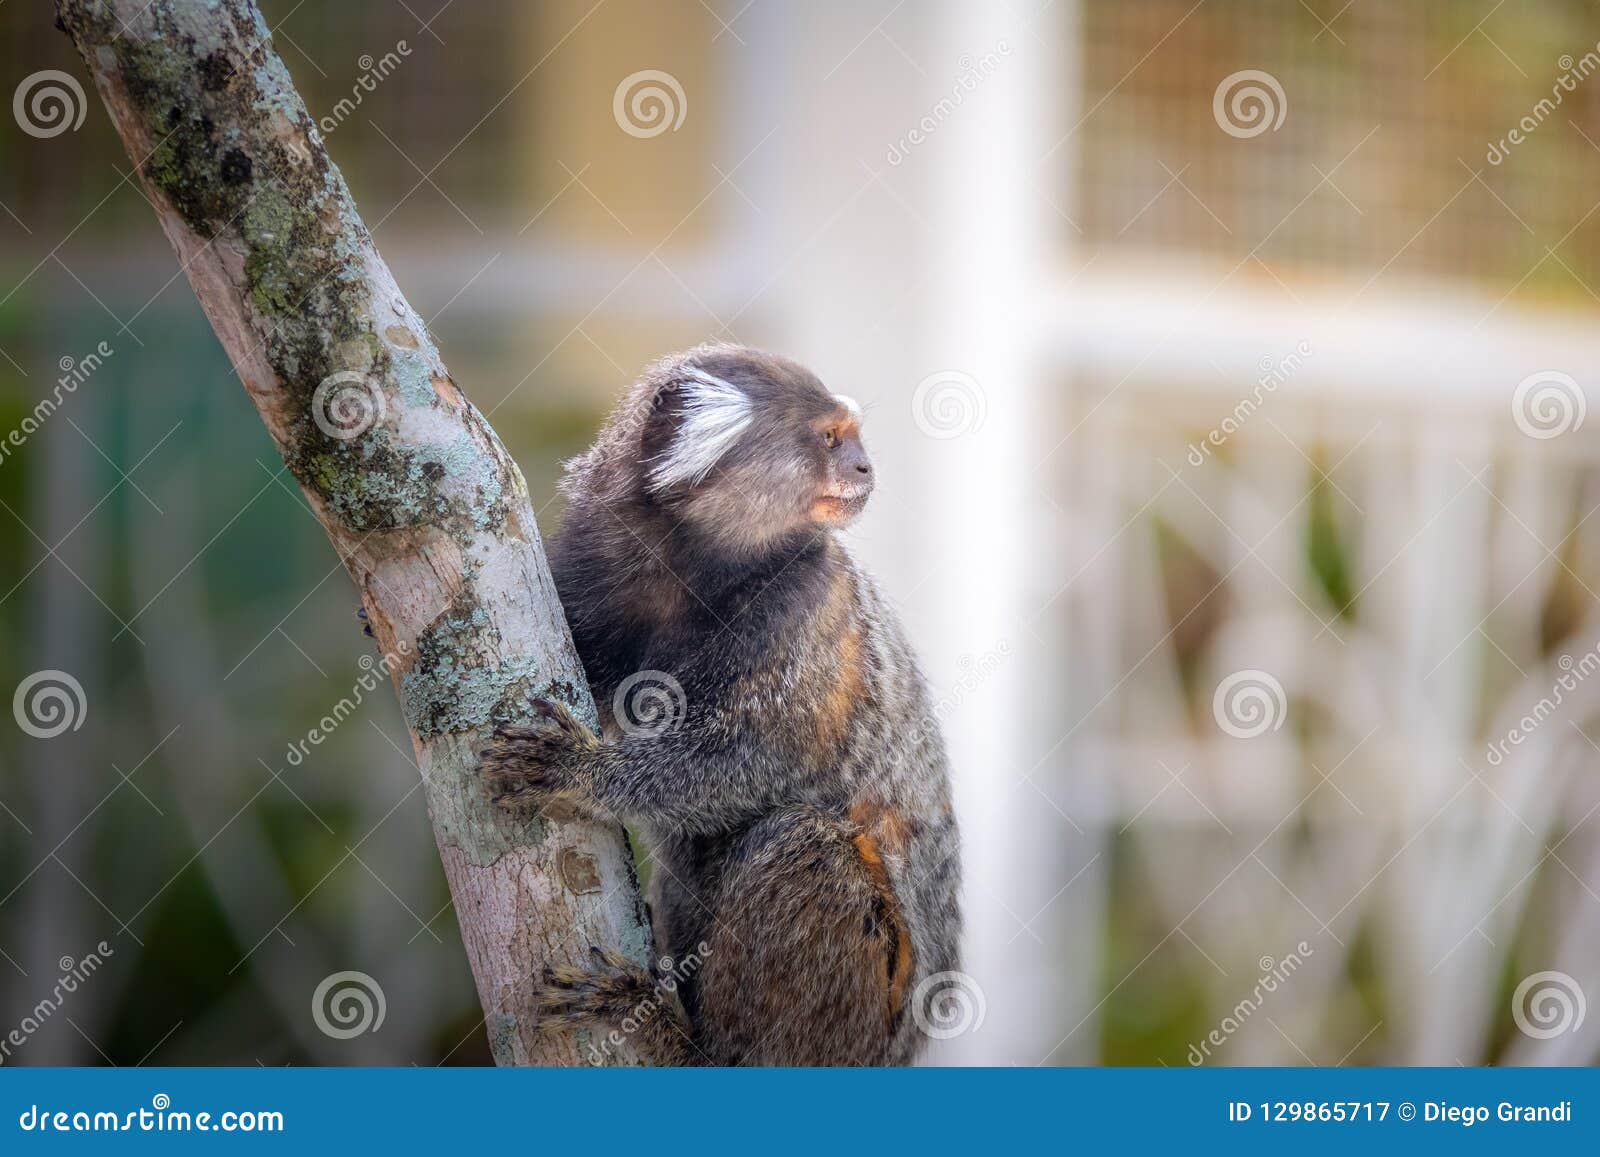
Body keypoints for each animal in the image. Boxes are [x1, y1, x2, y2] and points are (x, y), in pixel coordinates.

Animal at [478, 343, 962, 1066]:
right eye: (831, 438)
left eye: (850, 438)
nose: (864, 467)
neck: (694, 567)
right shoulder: (588, 565)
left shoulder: (806, 603)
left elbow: (757, 760)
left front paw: (580, 774)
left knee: (804, 844)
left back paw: (676, 1037)